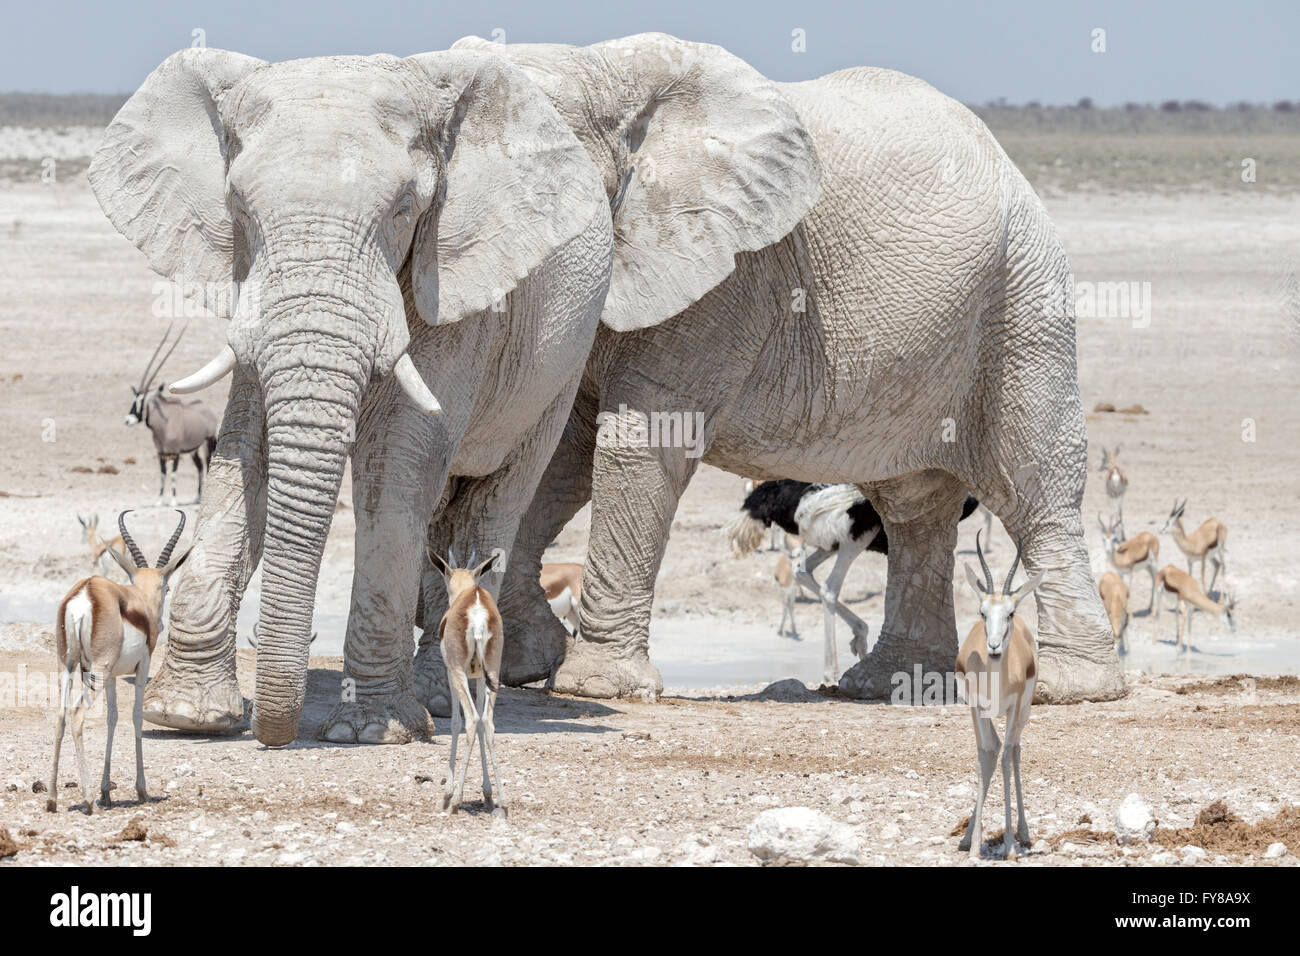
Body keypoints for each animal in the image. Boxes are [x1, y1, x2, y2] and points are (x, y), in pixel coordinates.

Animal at [87, 47, 613, 744]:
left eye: (403, 209)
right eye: (238, 206)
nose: (273, 734)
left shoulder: (452, 284)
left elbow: (397, 462)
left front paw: (373, 729)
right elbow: (248, 448)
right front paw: (189, 716)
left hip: (561, 368)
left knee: (493, 503)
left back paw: (445, 695)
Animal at [413, 32, 1124, 711]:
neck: (594, 69)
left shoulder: (728, 277)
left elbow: (640, 439)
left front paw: (596, 685)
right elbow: (562, 449)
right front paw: (528, 659)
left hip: (1023, 303)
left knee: (1034, 487)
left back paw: (1075, 687)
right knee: (914, 506)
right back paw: (891, 685)